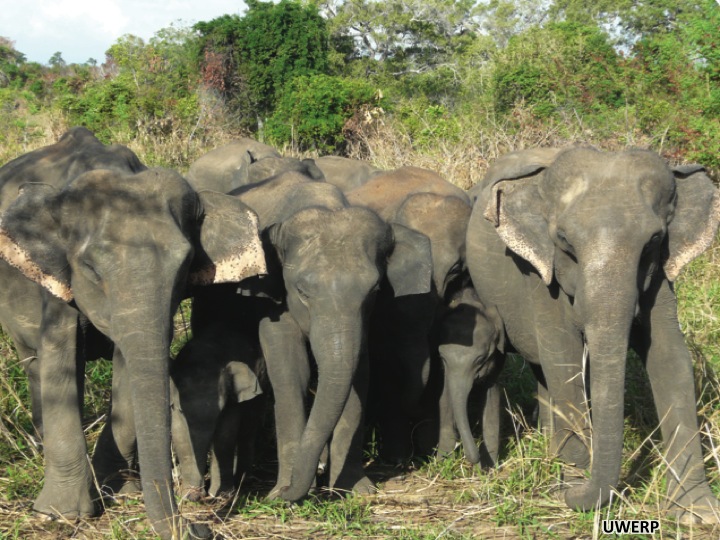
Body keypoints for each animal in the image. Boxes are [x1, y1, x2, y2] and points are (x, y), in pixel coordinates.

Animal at [0, 128, 266, 539]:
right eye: (91, 268)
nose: (199, 525)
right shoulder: (56, 278)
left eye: (186, 264)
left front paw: (121, 491)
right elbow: (61, 355)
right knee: (35, 363)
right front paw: (60, 514)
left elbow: (128, 361)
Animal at [185, 170, 433, 502]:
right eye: (302, 291)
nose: (289, 490)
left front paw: (352, 488)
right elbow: (292, 369)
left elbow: (357, 372)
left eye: (375, 289)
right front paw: (283, 493)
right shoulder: (271, 299)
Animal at [435, 286, 505, 467]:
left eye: (480, 359)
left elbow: (492, 396)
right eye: (442, 357)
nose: (474, 460)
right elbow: (445, 396)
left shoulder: (498, 359)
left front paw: (489, 467)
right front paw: (442, 462)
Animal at [466, 145, 720, 520]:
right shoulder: (539, 275)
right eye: (564, 240)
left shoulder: (660, 273)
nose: (579, 489)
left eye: (654, 240)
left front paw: (697, 512)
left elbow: (670, 357)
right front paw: (568, 488)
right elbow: (564, 357)